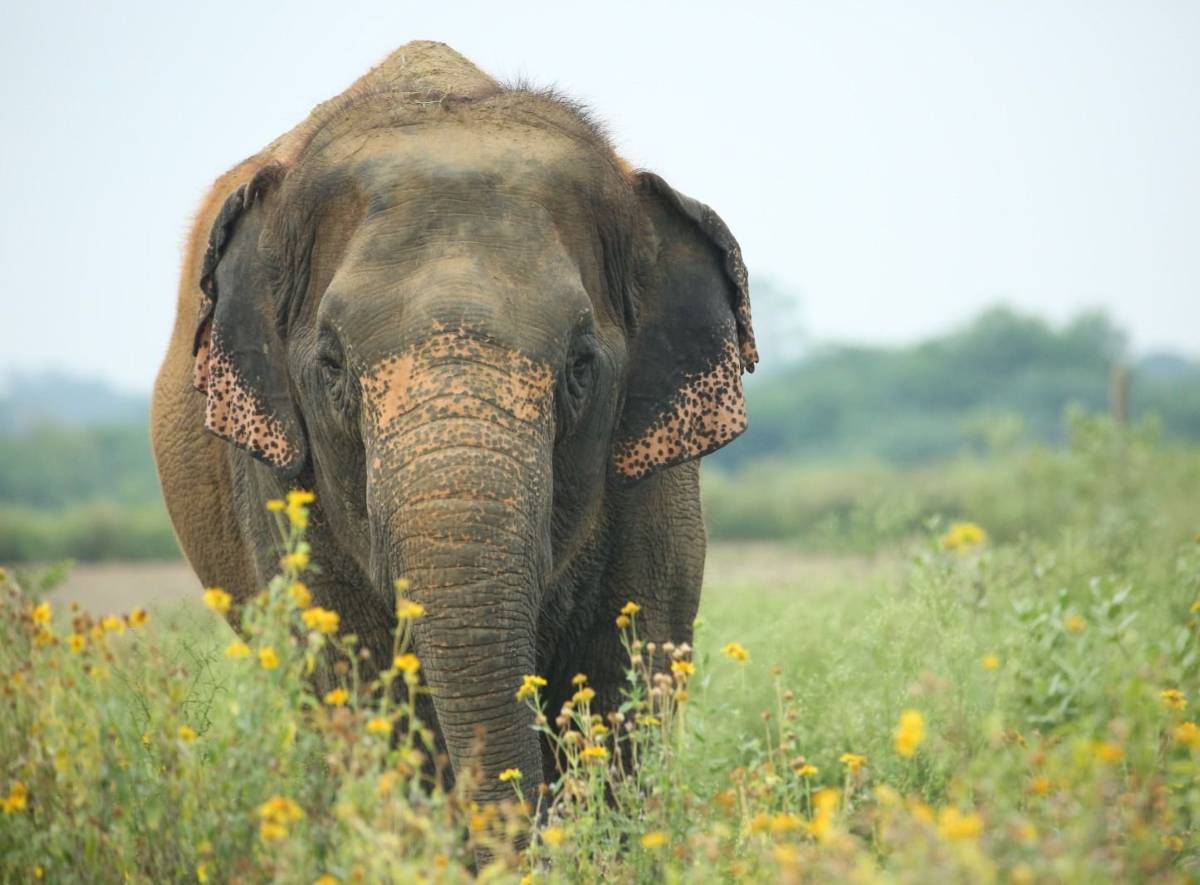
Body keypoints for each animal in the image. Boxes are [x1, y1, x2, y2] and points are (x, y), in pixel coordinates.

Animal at [150, 40, 757, 807]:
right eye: (332, 365)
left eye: (581, 363)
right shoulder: (280, 478)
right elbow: (353, 674)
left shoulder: (654, 476)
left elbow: (632, 662)